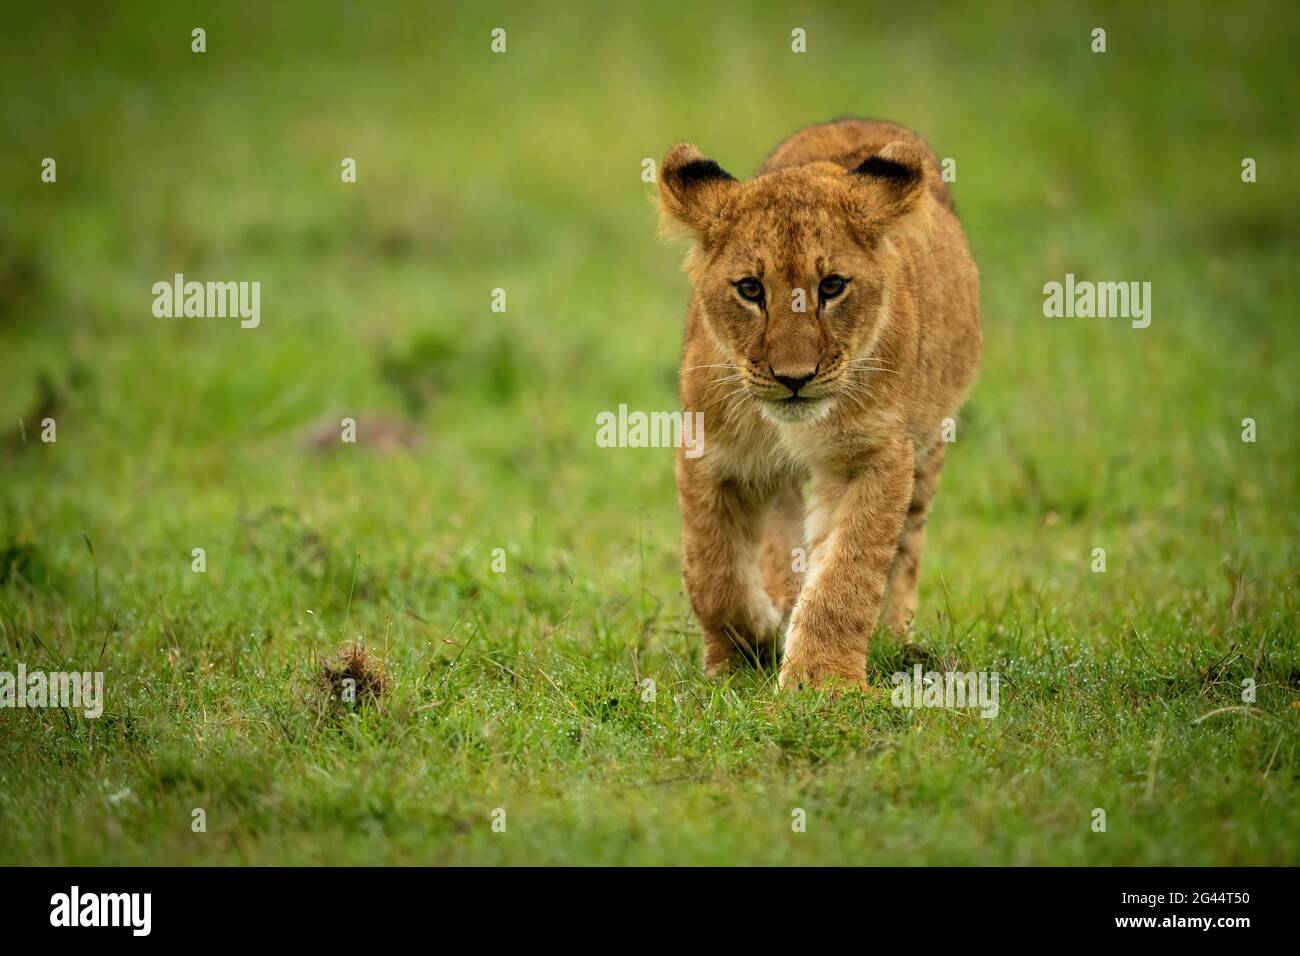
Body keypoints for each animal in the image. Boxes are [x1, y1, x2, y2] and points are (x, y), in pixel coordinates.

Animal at [656, 118, 981, 691]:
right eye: (750, 289)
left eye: (831, 286)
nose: (794, 378)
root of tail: (862, 120)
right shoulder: (712, 454)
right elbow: (712, 572)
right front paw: (744, 653)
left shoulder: (873, 454)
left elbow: (847, 576)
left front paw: (821, 682)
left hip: (929, 447)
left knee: (906, 548)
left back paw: (896, 637)